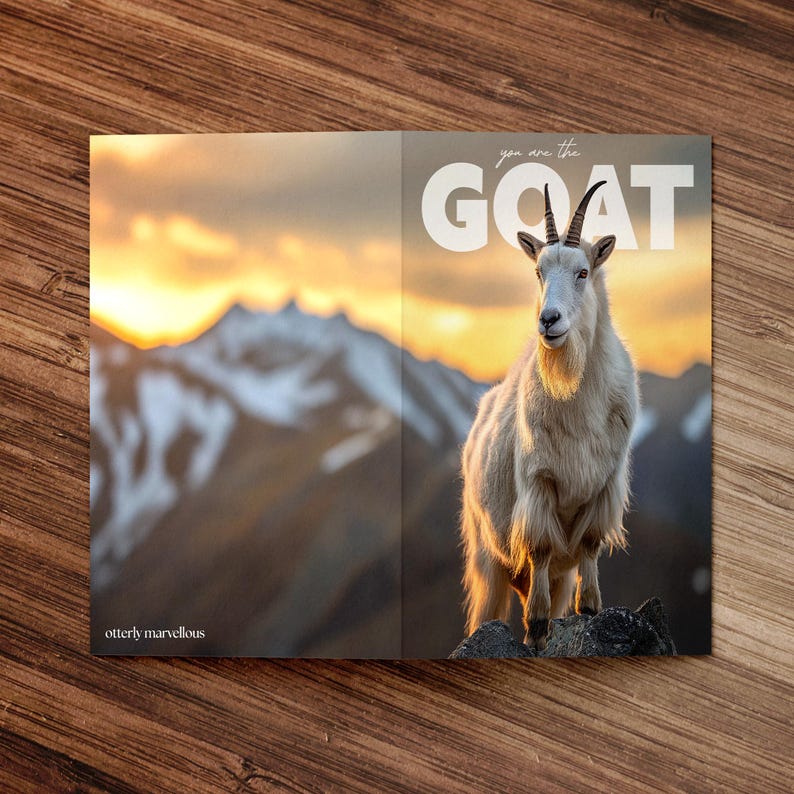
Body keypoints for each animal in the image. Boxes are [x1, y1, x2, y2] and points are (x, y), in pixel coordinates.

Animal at [460, 180, 638, 650]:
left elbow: (591, 543)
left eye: (583, 272)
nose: (549, 320)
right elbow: (538, 549)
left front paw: (590, 609)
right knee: (492, 600)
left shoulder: (604, 486)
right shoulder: (537, 484)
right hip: (486, 553)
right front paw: (537, 628)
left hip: (558, 571)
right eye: (539, 272)